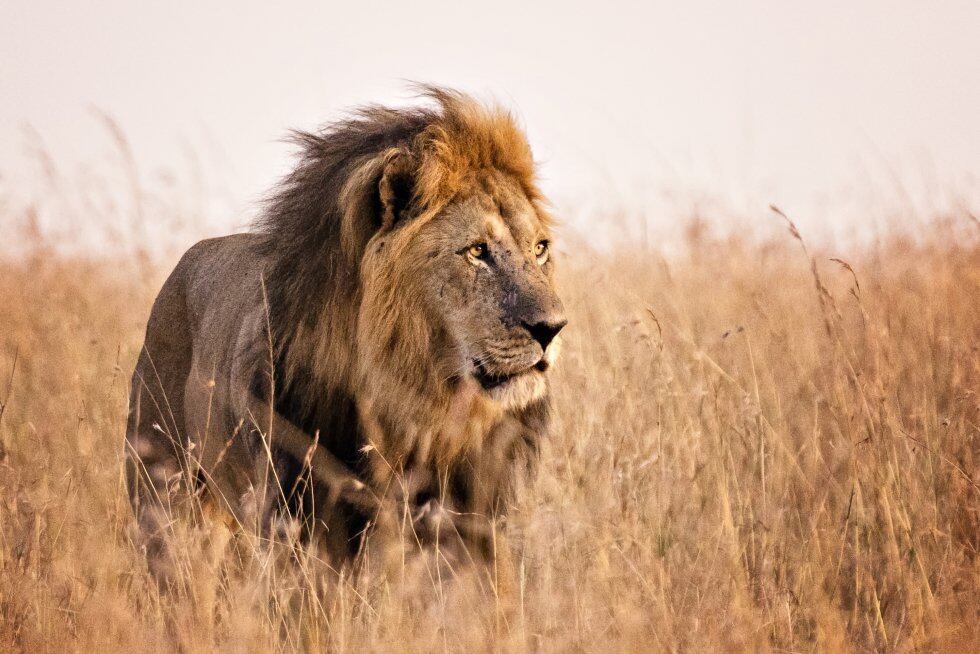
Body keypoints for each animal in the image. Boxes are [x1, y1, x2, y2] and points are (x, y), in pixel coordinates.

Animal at [125, 87, 566, 583]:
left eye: (540, 249)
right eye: (476, 251)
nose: (553, 328)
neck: (416, 401)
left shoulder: (471, 519)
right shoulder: (300, 518)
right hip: (164, 496)